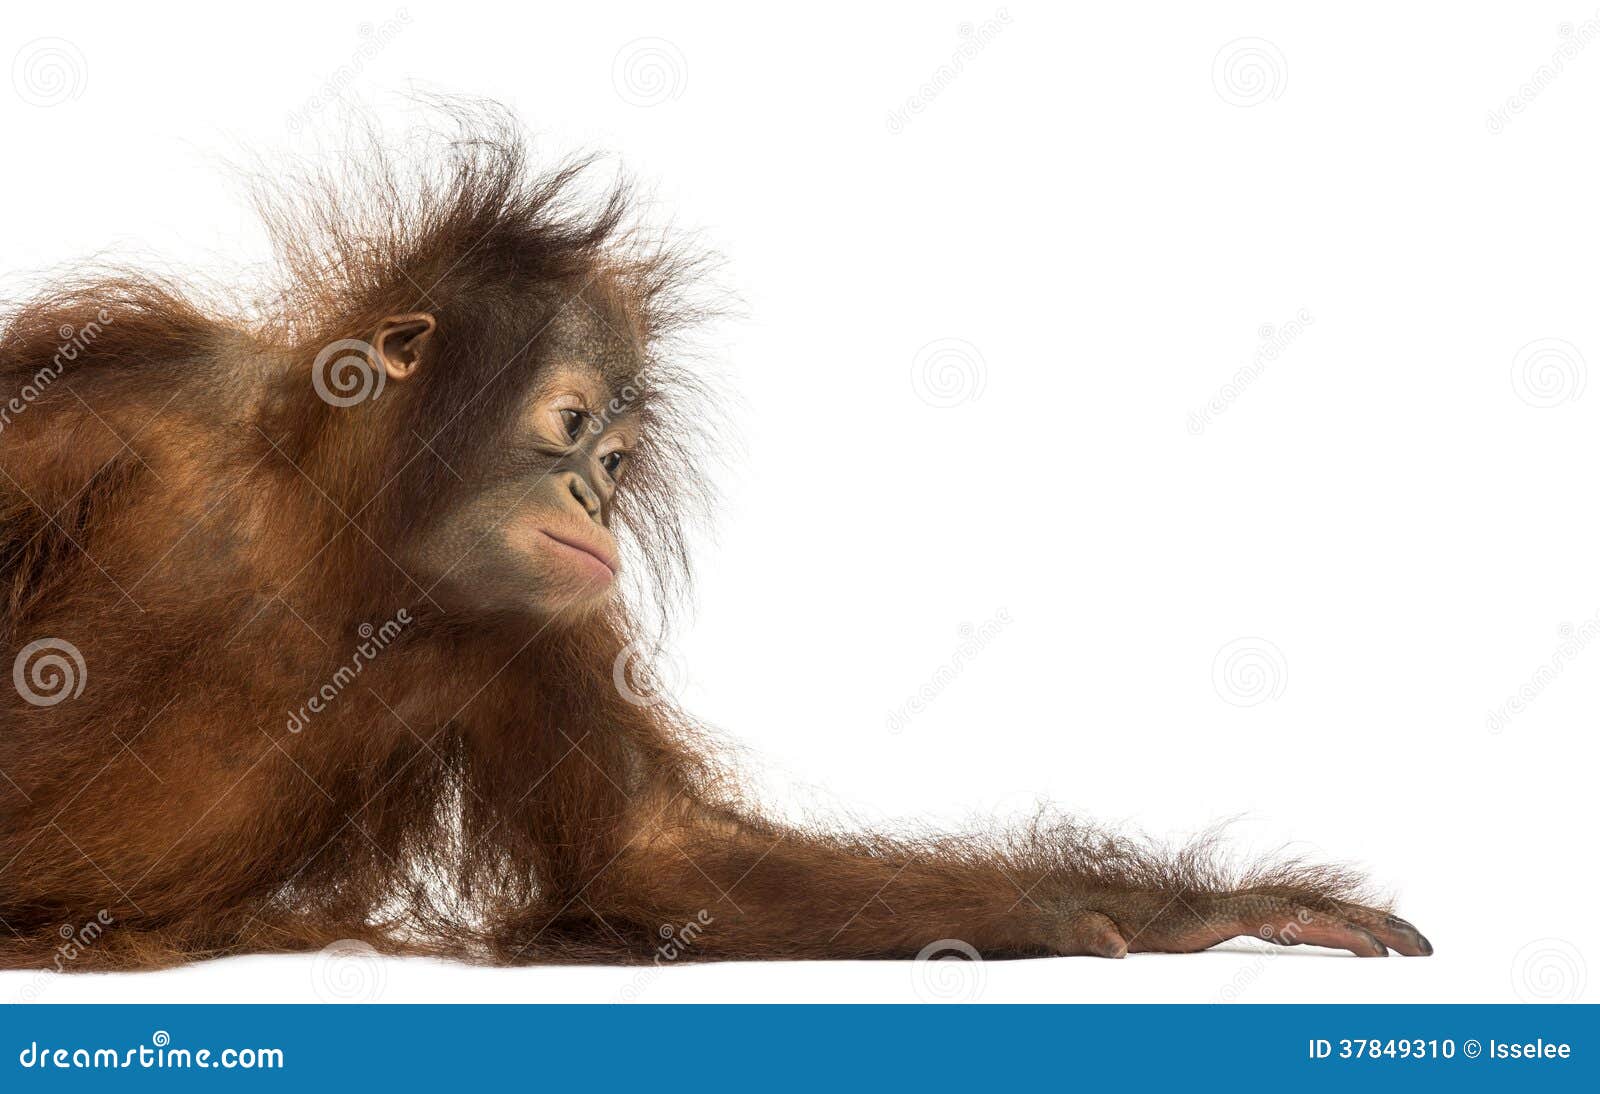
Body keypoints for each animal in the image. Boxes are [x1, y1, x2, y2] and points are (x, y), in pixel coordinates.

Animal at [0, 104, 1430, 969]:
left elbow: (662, 854)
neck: (328, 534)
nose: (592, 499)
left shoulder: (535, 639)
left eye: (619, 462)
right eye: (570, 423)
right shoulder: (108, 402)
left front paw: (1200, 911)